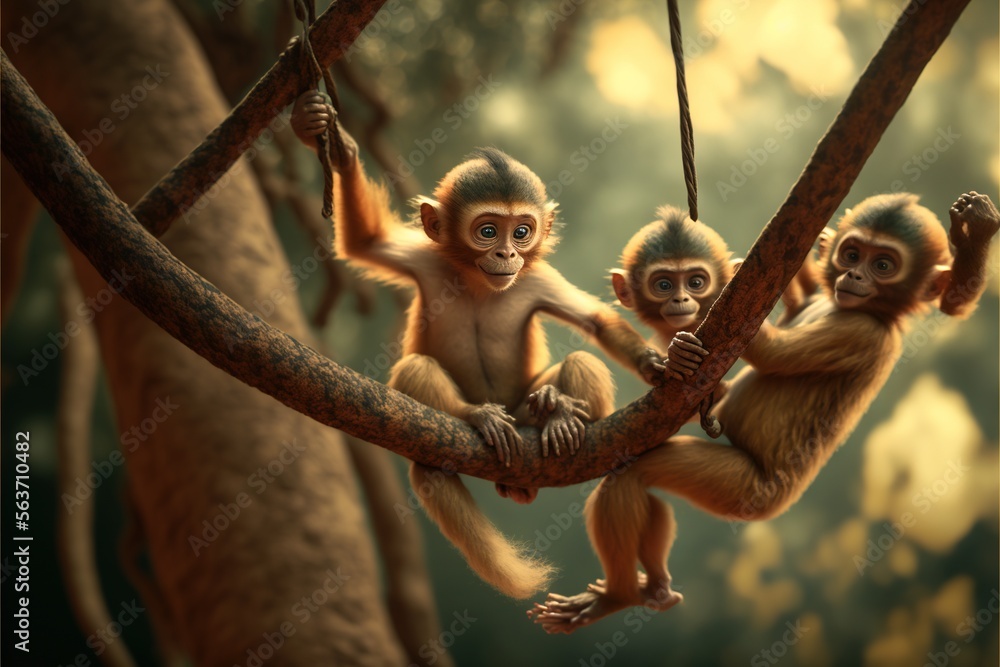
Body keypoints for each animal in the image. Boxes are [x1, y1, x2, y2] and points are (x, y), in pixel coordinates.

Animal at [292, 91, 666, 599]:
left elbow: (595, 320)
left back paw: (556, 412)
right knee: (418, 382)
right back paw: (481, 416)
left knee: (579, 361)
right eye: (488, 231)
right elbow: (365, 243)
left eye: (522, 232)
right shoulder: (426, 260)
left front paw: (654, 363)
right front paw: (330, 135)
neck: (477, 283)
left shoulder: (534, 277)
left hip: (525, 407)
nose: (507, 253)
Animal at [530, 191, 1000, 632]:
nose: (855, 274)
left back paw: (618, 596)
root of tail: (781, 500)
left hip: (740, 489)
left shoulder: (862, 332)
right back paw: (657, 589)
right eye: (852, 255)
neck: (858, 309)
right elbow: (794, 307)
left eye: (883, 264)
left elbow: (769, 354)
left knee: (635, 476)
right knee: (638, 482)